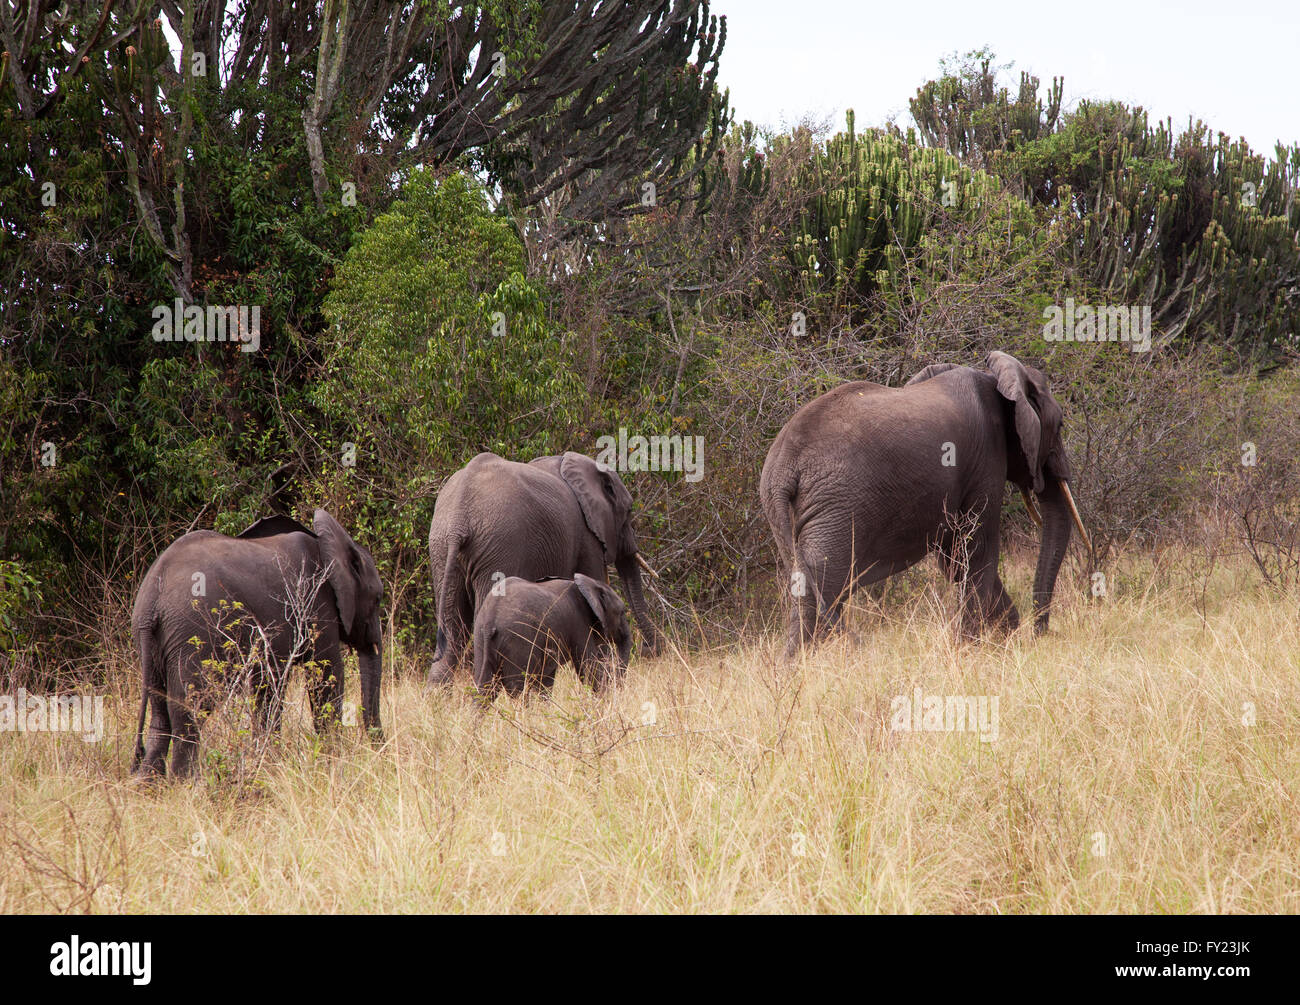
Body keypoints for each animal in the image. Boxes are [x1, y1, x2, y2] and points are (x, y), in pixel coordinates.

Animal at [131, 509, 384, 778]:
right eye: (378, 598)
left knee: (160, 713)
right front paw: (332, 761)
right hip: (192, 632)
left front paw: (268, 765)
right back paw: (184, 782)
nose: (380, 753)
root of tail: (151, 602)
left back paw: (148, 782)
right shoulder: (317, 604)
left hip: (156, 643)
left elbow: (267, 687)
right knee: (190, 709)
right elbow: (326, 674)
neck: (329, 546)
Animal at [472, 574, 633, 697]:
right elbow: (588, 667)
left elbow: (547, 678)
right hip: (517, 639)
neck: (591, 583)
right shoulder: (579, 623)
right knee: (517, 688)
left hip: (480, 637)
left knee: (484, 689)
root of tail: (491, 618)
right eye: (622, 612)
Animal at [760, 350, 1089, 658]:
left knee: (808, 586)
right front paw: (972, 650)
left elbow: (953, 556)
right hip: (836, 508)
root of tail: (783, 464)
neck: (996, 378)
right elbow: (976, 547)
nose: (1039, 635)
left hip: (788, 515)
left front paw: (1000, 637)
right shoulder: (985, 458)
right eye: (1060, 425)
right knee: (824, 586)